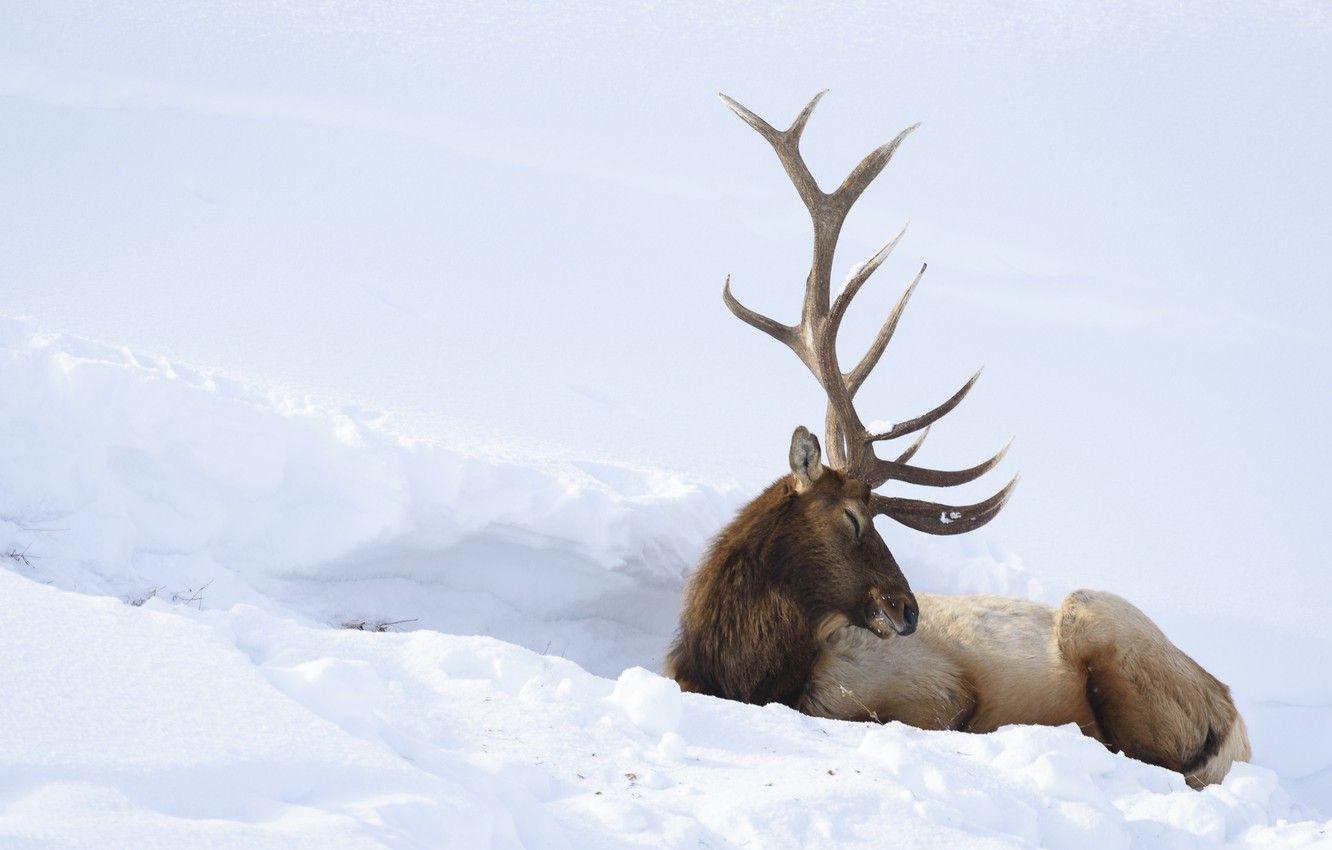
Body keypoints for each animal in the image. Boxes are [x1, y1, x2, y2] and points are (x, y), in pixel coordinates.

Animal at [665, 91, 1250, 788]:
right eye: (853, 518)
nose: (909, 610)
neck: (737, 667)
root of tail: (1235, 724)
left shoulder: (926, 688)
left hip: (1100, 620)